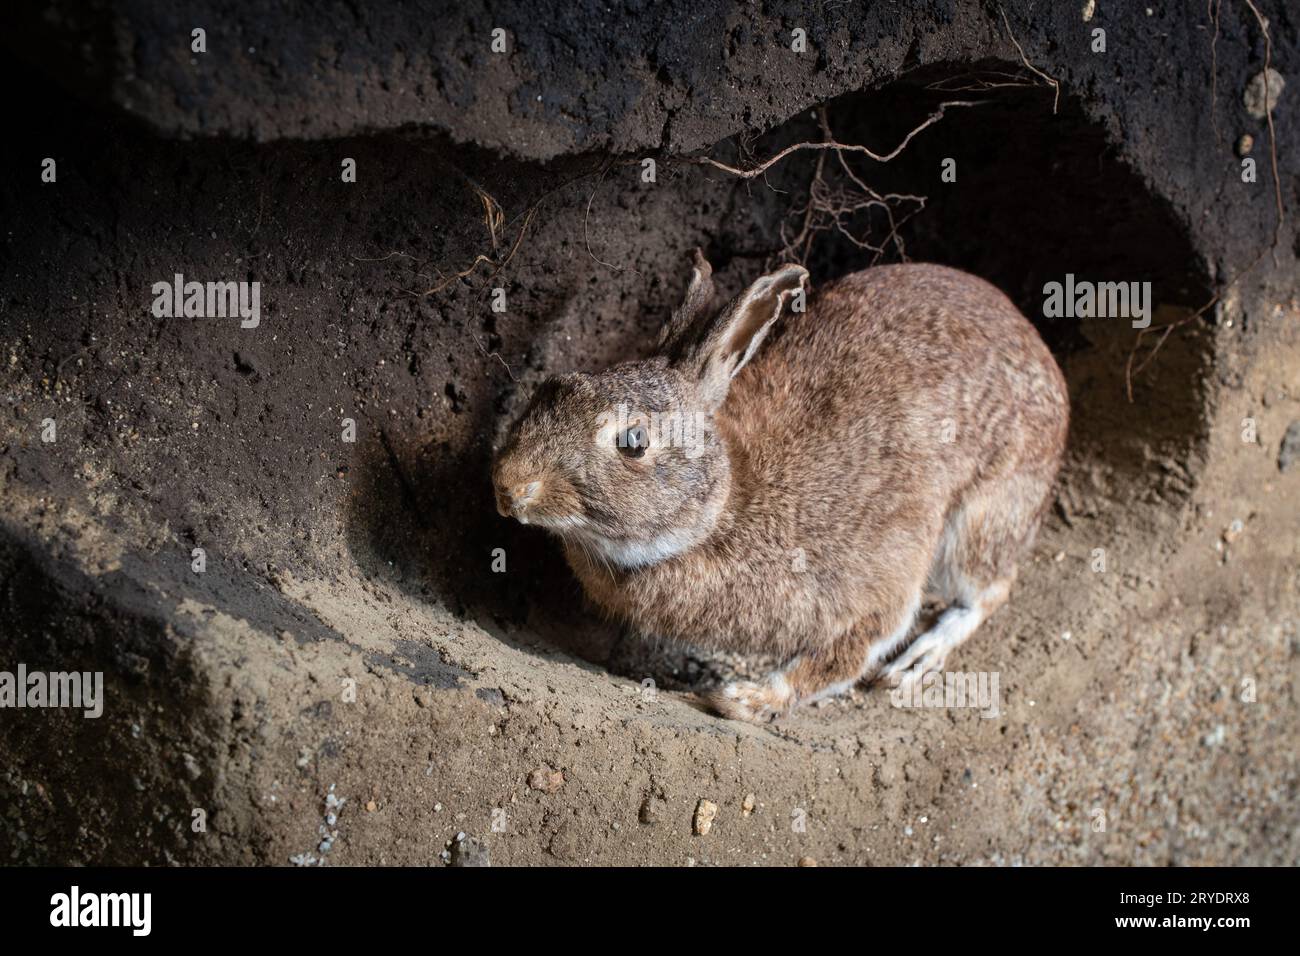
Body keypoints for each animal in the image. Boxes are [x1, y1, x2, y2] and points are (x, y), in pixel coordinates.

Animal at [492, 250, 1069, 722]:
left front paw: (744, 699)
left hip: (983, 516)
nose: (510, 486)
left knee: (989, 588)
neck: (724, 504)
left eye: (633, 440)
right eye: (553, 387)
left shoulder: (877, 580)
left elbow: (847, 654)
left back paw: (922, 656)